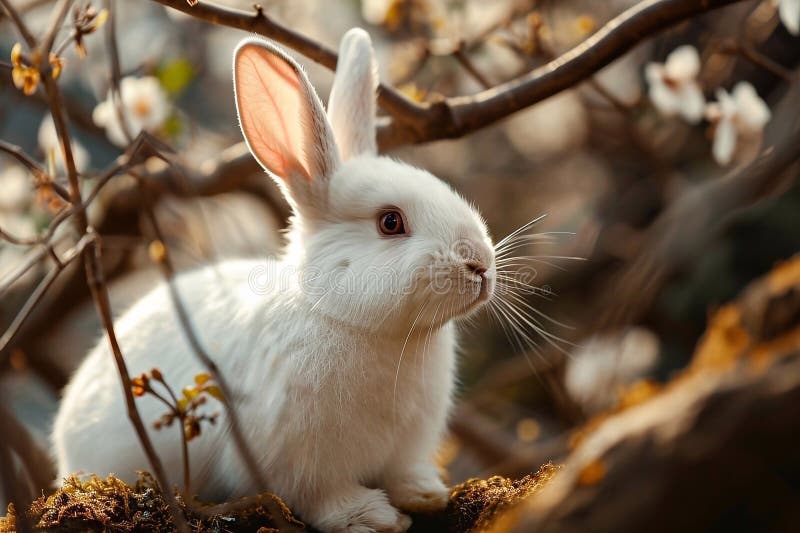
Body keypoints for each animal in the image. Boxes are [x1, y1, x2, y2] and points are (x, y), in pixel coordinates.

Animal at [53, 28, 496, 533]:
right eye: (390, 222)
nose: (480, 264)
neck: (353, 322)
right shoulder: (293, 459)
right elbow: (322, 497)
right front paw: (373, 518)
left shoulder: (407, 447)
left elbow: (404, 473)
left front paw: (425, 495)